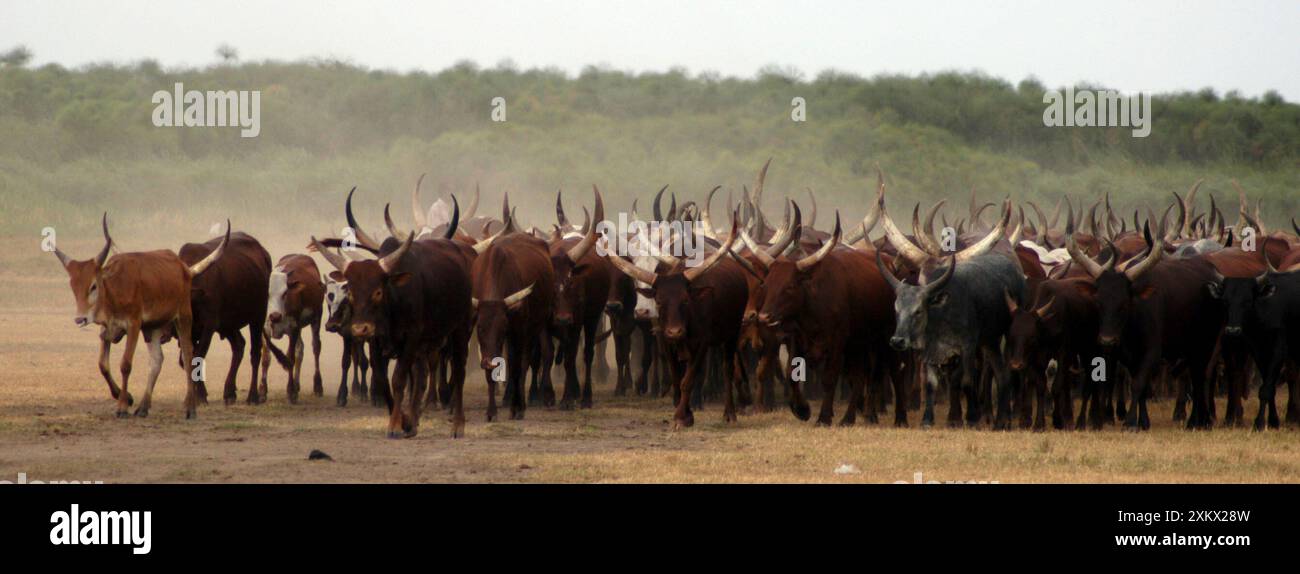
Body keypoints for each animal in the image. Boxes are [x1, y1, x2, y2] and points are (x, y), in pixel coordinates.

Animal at [53, 214, 226, 418]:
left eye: (94, 285)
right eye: (73, 287)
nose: (80, 319)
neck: (114, 290)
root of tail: (184, 268)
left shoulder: (134, 325)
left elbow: (125, 364)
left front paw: (122, 407)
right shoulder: (108, 329)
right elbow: (103, 364)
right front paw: (127, 397)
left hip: (183, 317)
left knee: (189, 355)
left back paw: (190, 408)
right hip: (153, 327)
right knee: (157, 360)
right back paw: (143, 407)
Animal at [262, 254, 326, 401]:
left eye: (285, 293)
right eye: (265, 293)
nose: (275, 316)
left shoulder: (294, 328)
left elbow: (290, 357)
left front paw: (290, 392)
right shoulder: (265, 330)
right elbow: (266, 358)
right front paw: (262, 391)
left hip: (316, 317)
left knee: (316, 347)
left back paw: (317, 386)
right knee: (300, 349)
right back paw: (297, 385)